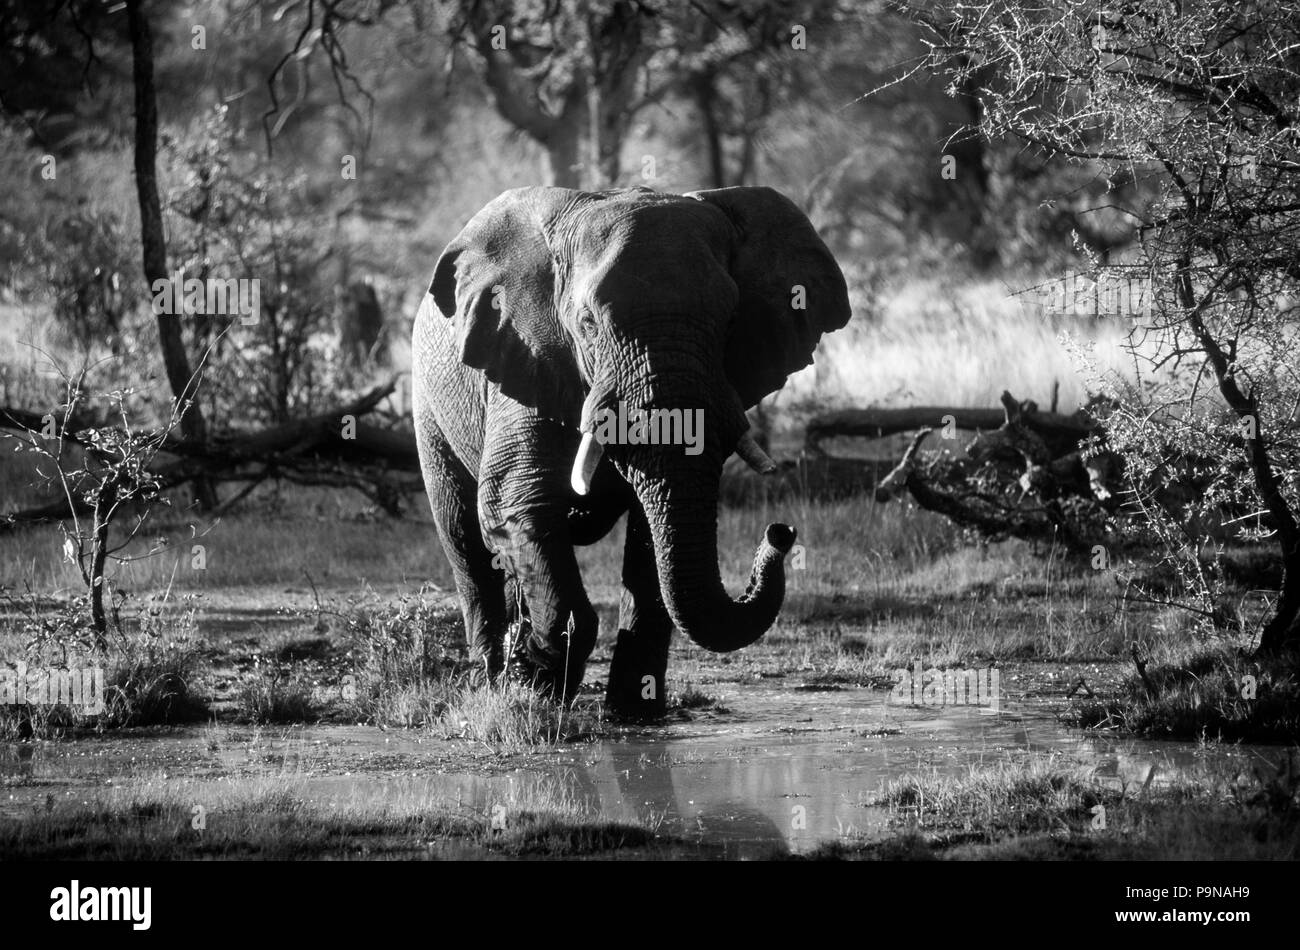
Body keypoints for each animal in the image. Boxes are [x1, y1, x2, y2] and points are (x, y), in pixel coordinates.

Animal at [412, 184, 850, 718]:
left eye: (731, 322)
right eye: (587, 323)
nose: (781, 531)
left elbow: (651, 541)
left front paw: (632, 713)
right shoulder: (530, 362)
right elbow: (518, 504)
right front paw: (533, 685)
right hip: (429, 406)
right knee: (465, 543)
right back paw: (493, 678)